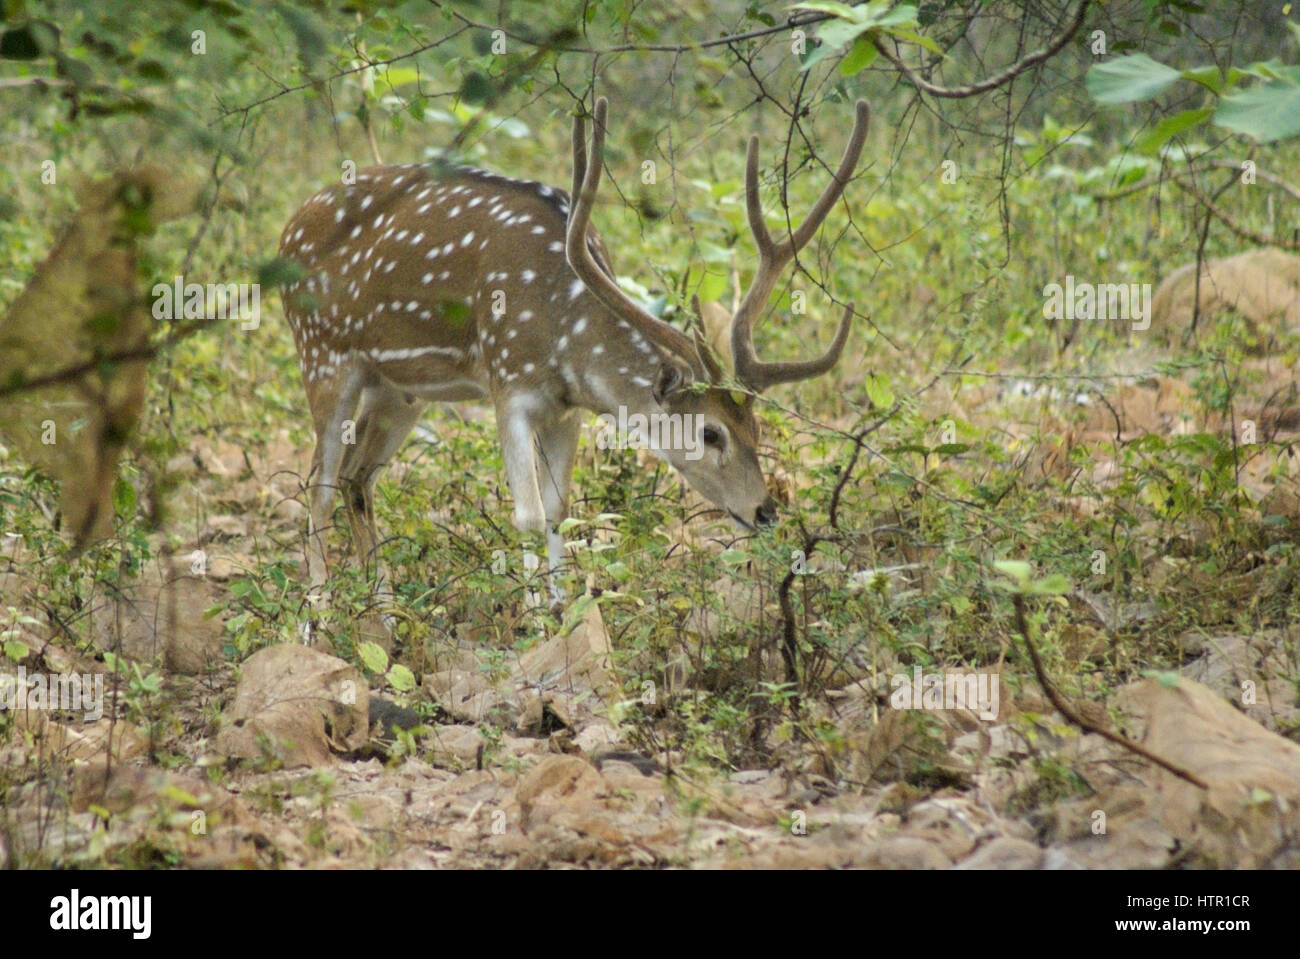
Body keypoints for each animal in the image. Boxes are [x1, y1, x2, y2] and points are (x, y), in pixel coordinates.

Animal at [278, 96, 869, 625]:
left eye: (758, 429)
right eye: (710, 432)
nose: (765, 511)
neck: (567, 339)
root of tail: (287, 228)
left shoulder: (567, 409)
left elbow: (559, 511)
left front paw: (564, 615)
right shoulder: (507, 382)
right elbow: (527, 514)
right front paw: (535, 626)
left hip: (399, 388)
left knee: (357, 477)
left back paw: (385, 614)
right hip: (321, 354)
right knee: (318, 486)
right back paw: (317, 618)